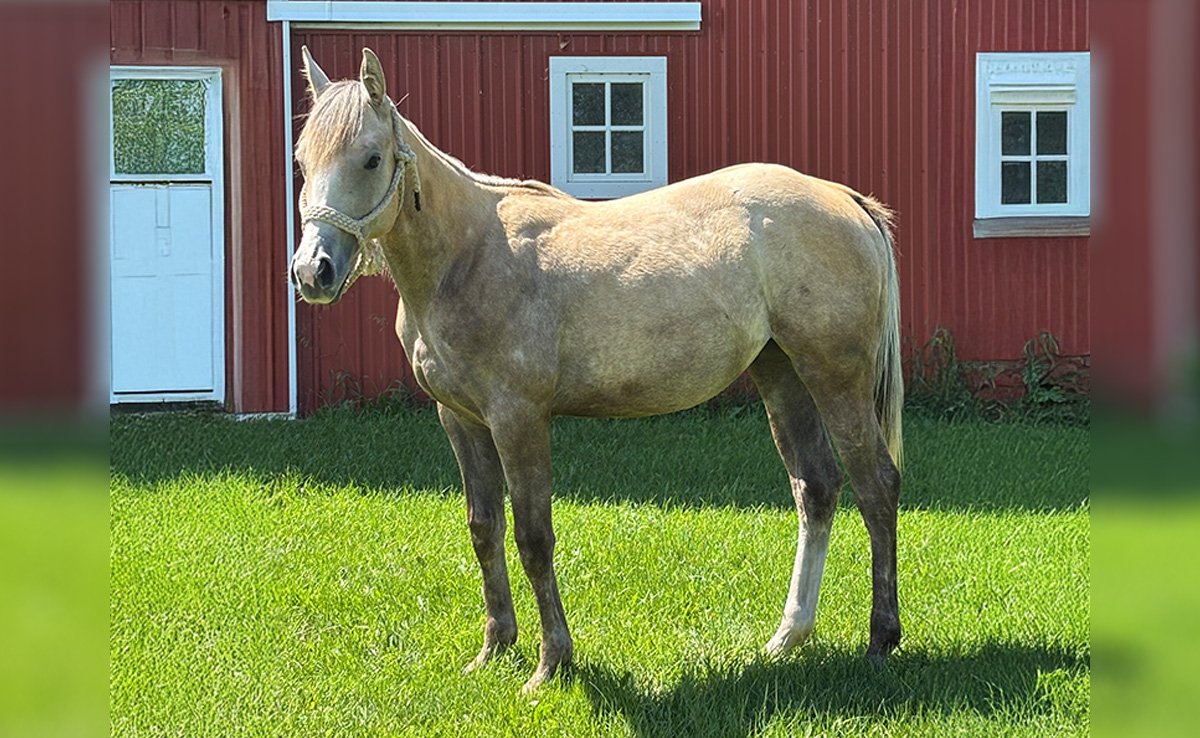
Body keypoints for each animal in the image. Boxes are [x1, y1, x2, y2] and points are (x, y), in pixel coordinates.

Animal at [290, 47, 904, 693]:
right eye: (302, 160)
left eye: (371, 157)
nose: (313, 271)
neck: (467, 255)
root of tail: (845, 200)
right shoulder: (460, 419)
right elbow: (485, 529)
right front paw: (493, 649)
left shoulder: (518, 419)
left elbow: (534, 537)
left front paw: (550, 663)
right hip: (781, 373)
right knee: (817, 488)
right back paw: (787, 638)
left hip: (836, 378)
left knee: (875, 488)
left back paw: (881, 640)